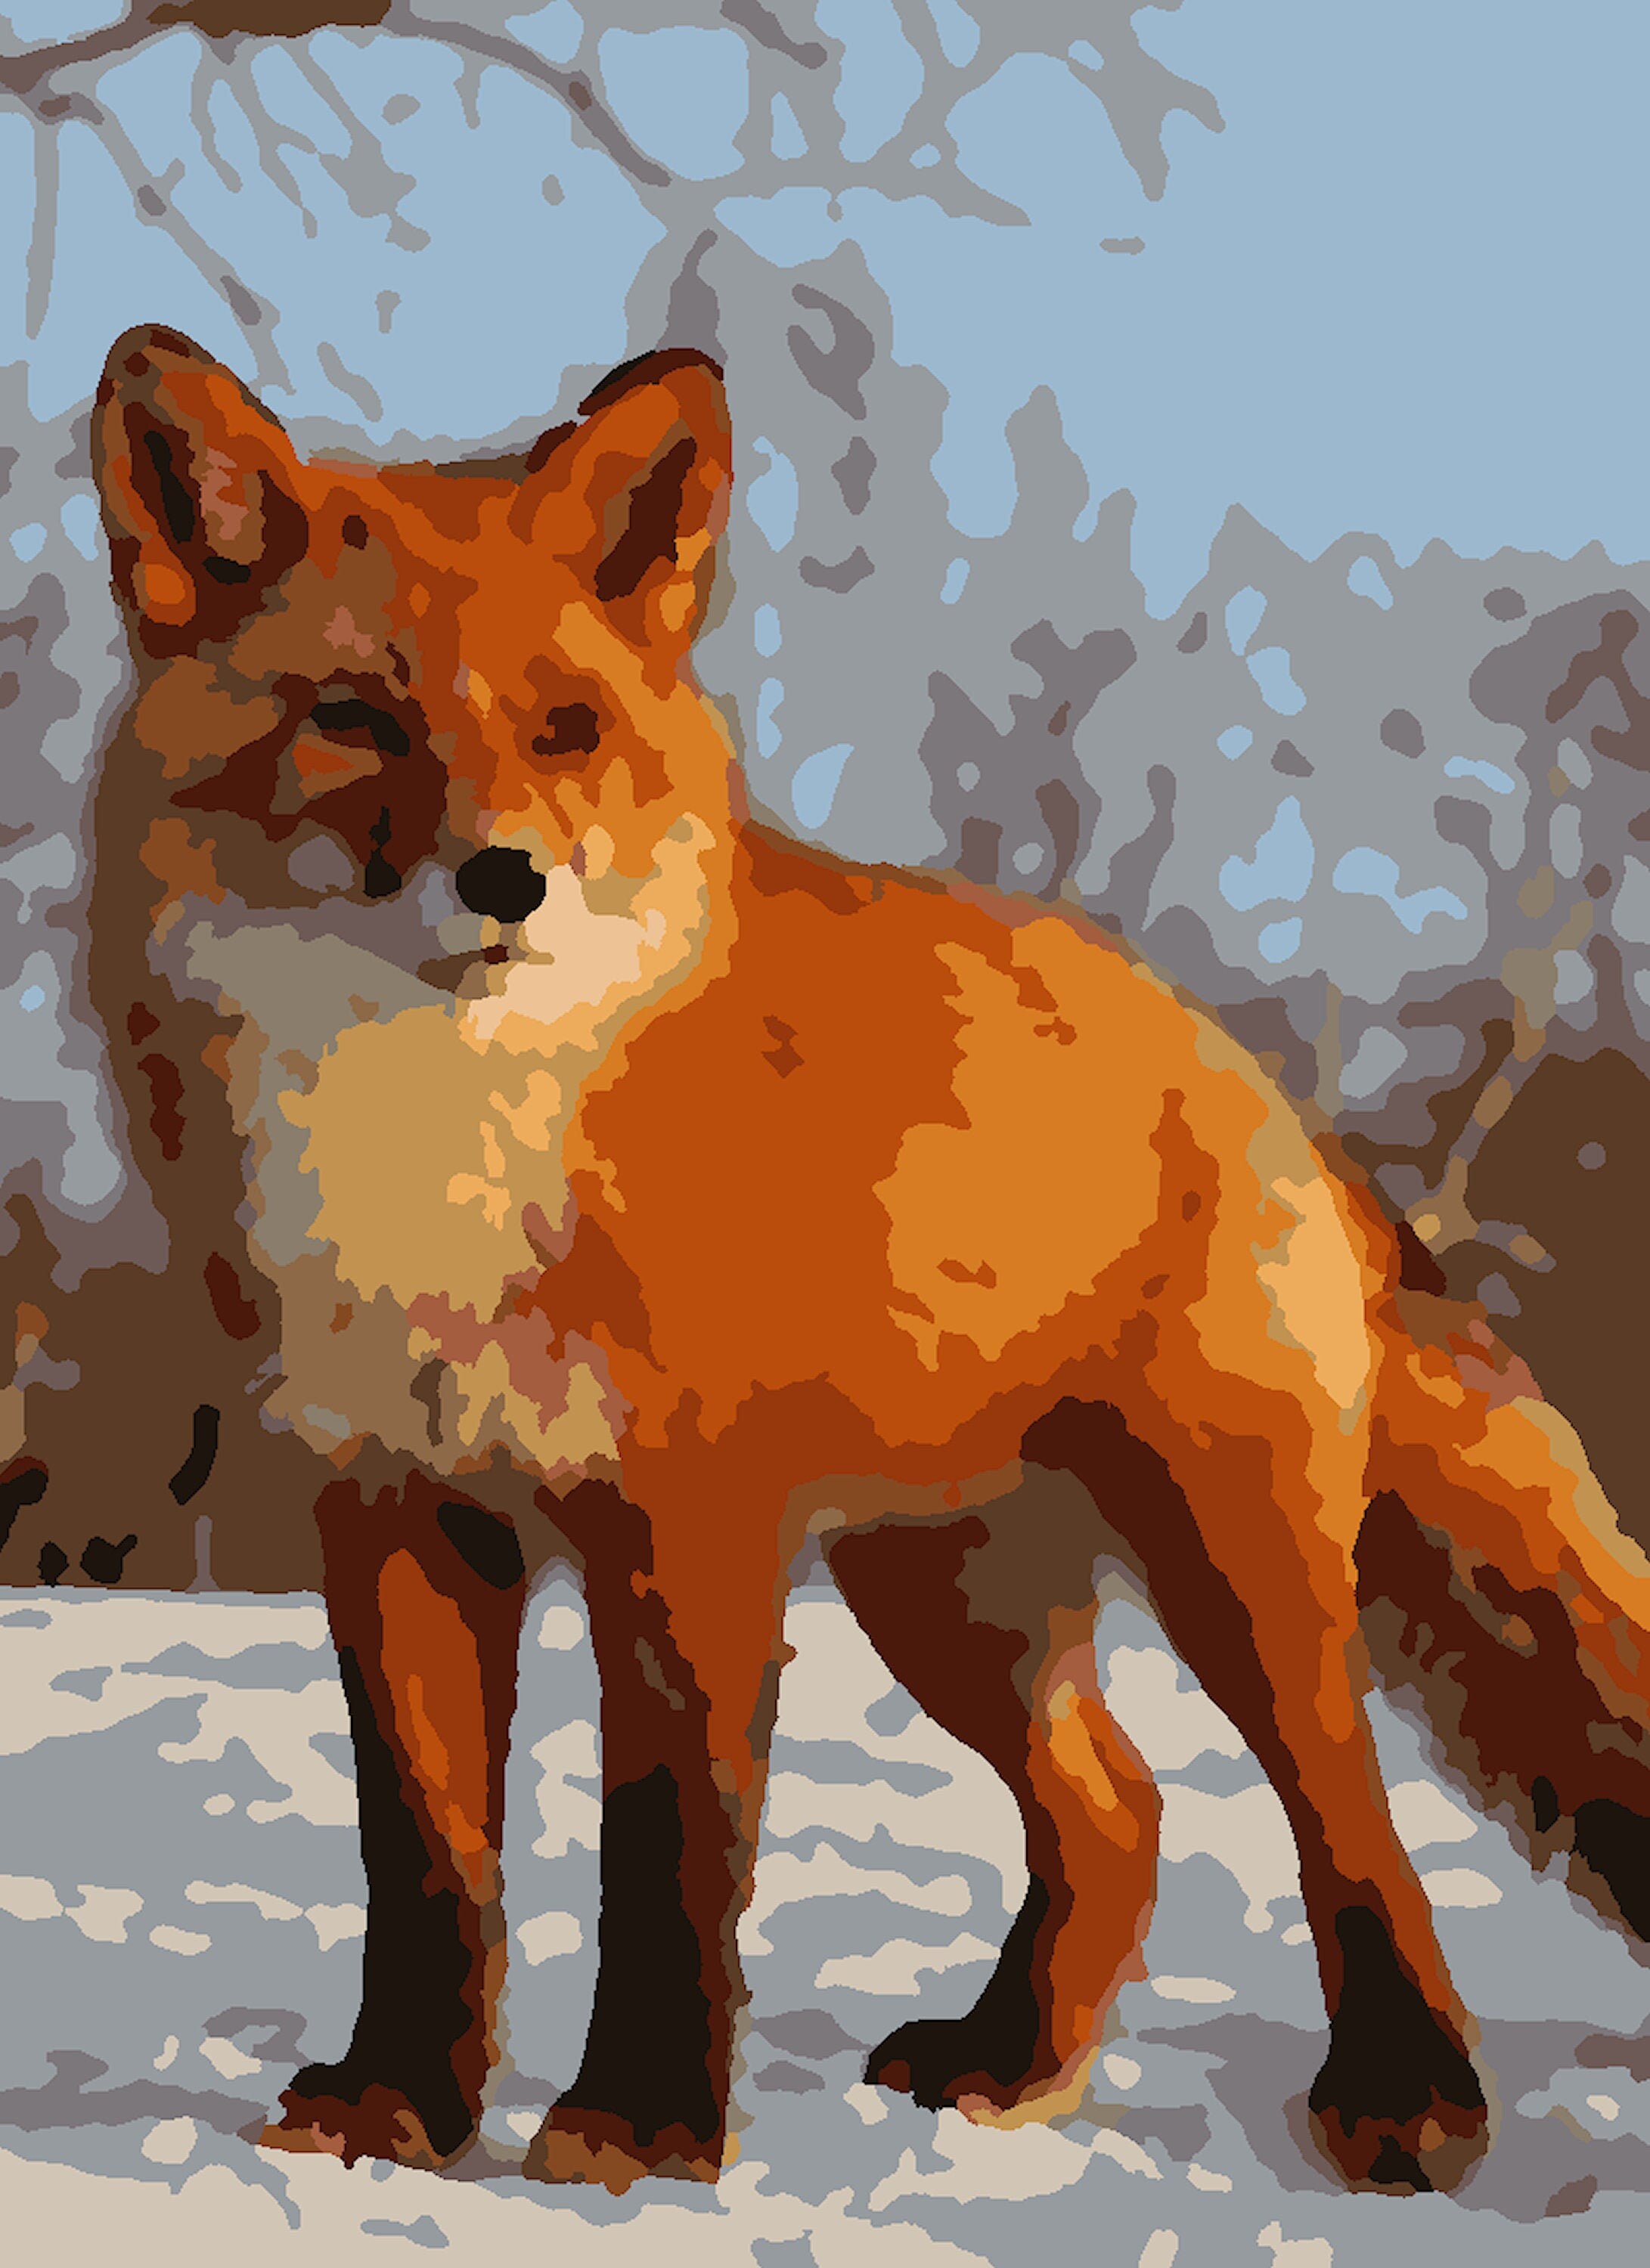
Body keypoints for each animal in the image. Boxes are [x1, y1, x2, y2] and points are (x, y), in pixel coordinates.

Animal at [9, 319, 1650, 2200]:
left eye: (565, 728)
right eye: (355, 720)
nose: (503, 879)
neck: (441, 1144)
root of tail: (1245, 1072)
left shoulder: (684, 1524)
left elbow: (666, 1853)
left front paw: (638, 2136)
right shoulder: (394, 1511)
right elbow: (422, 1859)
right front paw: (394, 2118)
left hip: (1227, 1567)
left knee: (1343, 1814)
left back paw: (1403, 2100)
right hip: (941, 1596)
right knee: (1121, 1810)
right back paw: (1012, 2067)